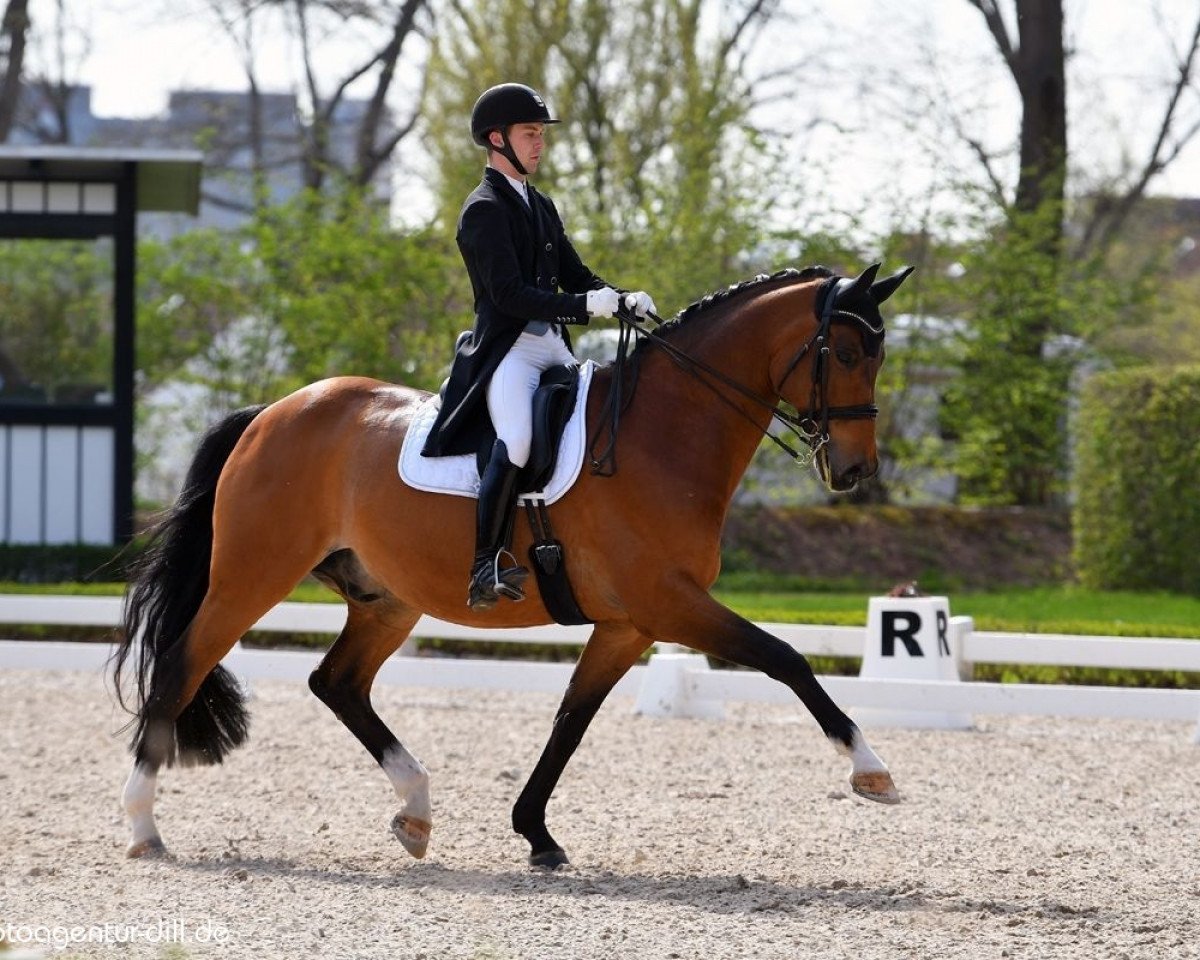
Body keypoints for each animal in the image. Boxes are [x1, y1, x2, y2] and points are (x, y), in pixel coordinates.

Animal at [112, 261, 913, 869]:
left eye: (877, 357)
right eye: (846, 355)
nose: (855, 471)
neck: (663, 433)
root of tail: (272, 411)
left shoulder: (628, 623)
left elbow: (571, 718)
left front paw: (537, 833)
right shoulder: (669, 603)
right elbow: (786, 658)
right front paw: (871, 769)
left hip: (386, 598)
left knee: (336, 682)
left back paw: (415, 811)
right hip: (253, 574)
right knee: (182, 665)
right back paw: (144, 829)